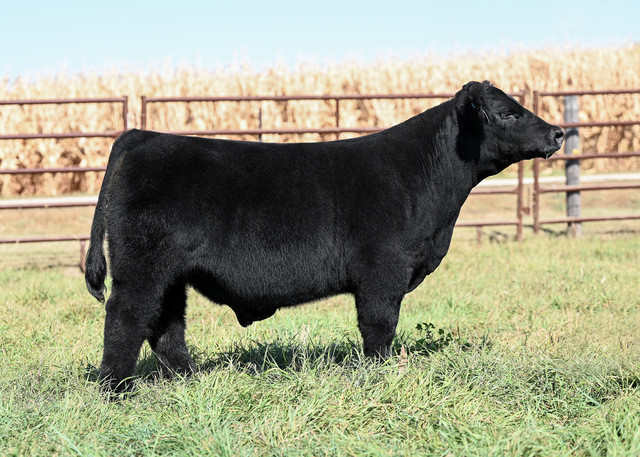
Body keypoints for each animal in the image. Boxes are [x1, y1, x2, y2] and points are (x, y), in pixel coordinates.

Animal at [85, 81, 564, 392]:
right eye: (509, 113)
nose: (558, 132)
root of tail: (142, 136)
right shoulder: (383, 271)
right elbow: (378, 326)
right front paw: (380, 375)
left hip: (170, 273)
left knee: (166, 325)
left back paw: (187, 379)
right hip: (142, 267)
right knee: (126, 317)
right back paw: (116, 389)